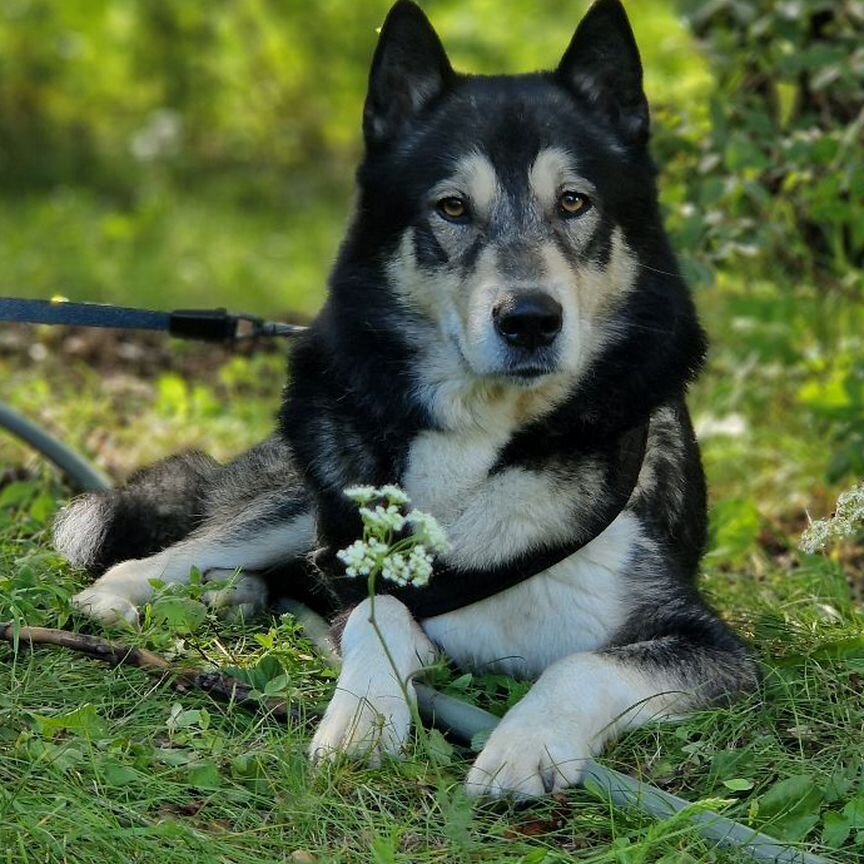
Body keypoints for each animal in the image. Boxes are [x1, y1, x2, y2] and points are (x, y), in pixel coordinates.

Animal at [54, 0, 760, 796]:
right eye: (452, 207)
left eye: (574, 201)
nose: (529, 320)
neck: (490, 444)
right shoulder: (356, 581)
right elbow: (379, 615)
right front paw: (363, 718)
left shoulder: (714, 648)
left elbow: (583, 665)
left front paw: (527, 744)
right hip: (304, 499)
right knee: (174, 552)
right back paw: (128, 598)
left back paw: (236, 595)